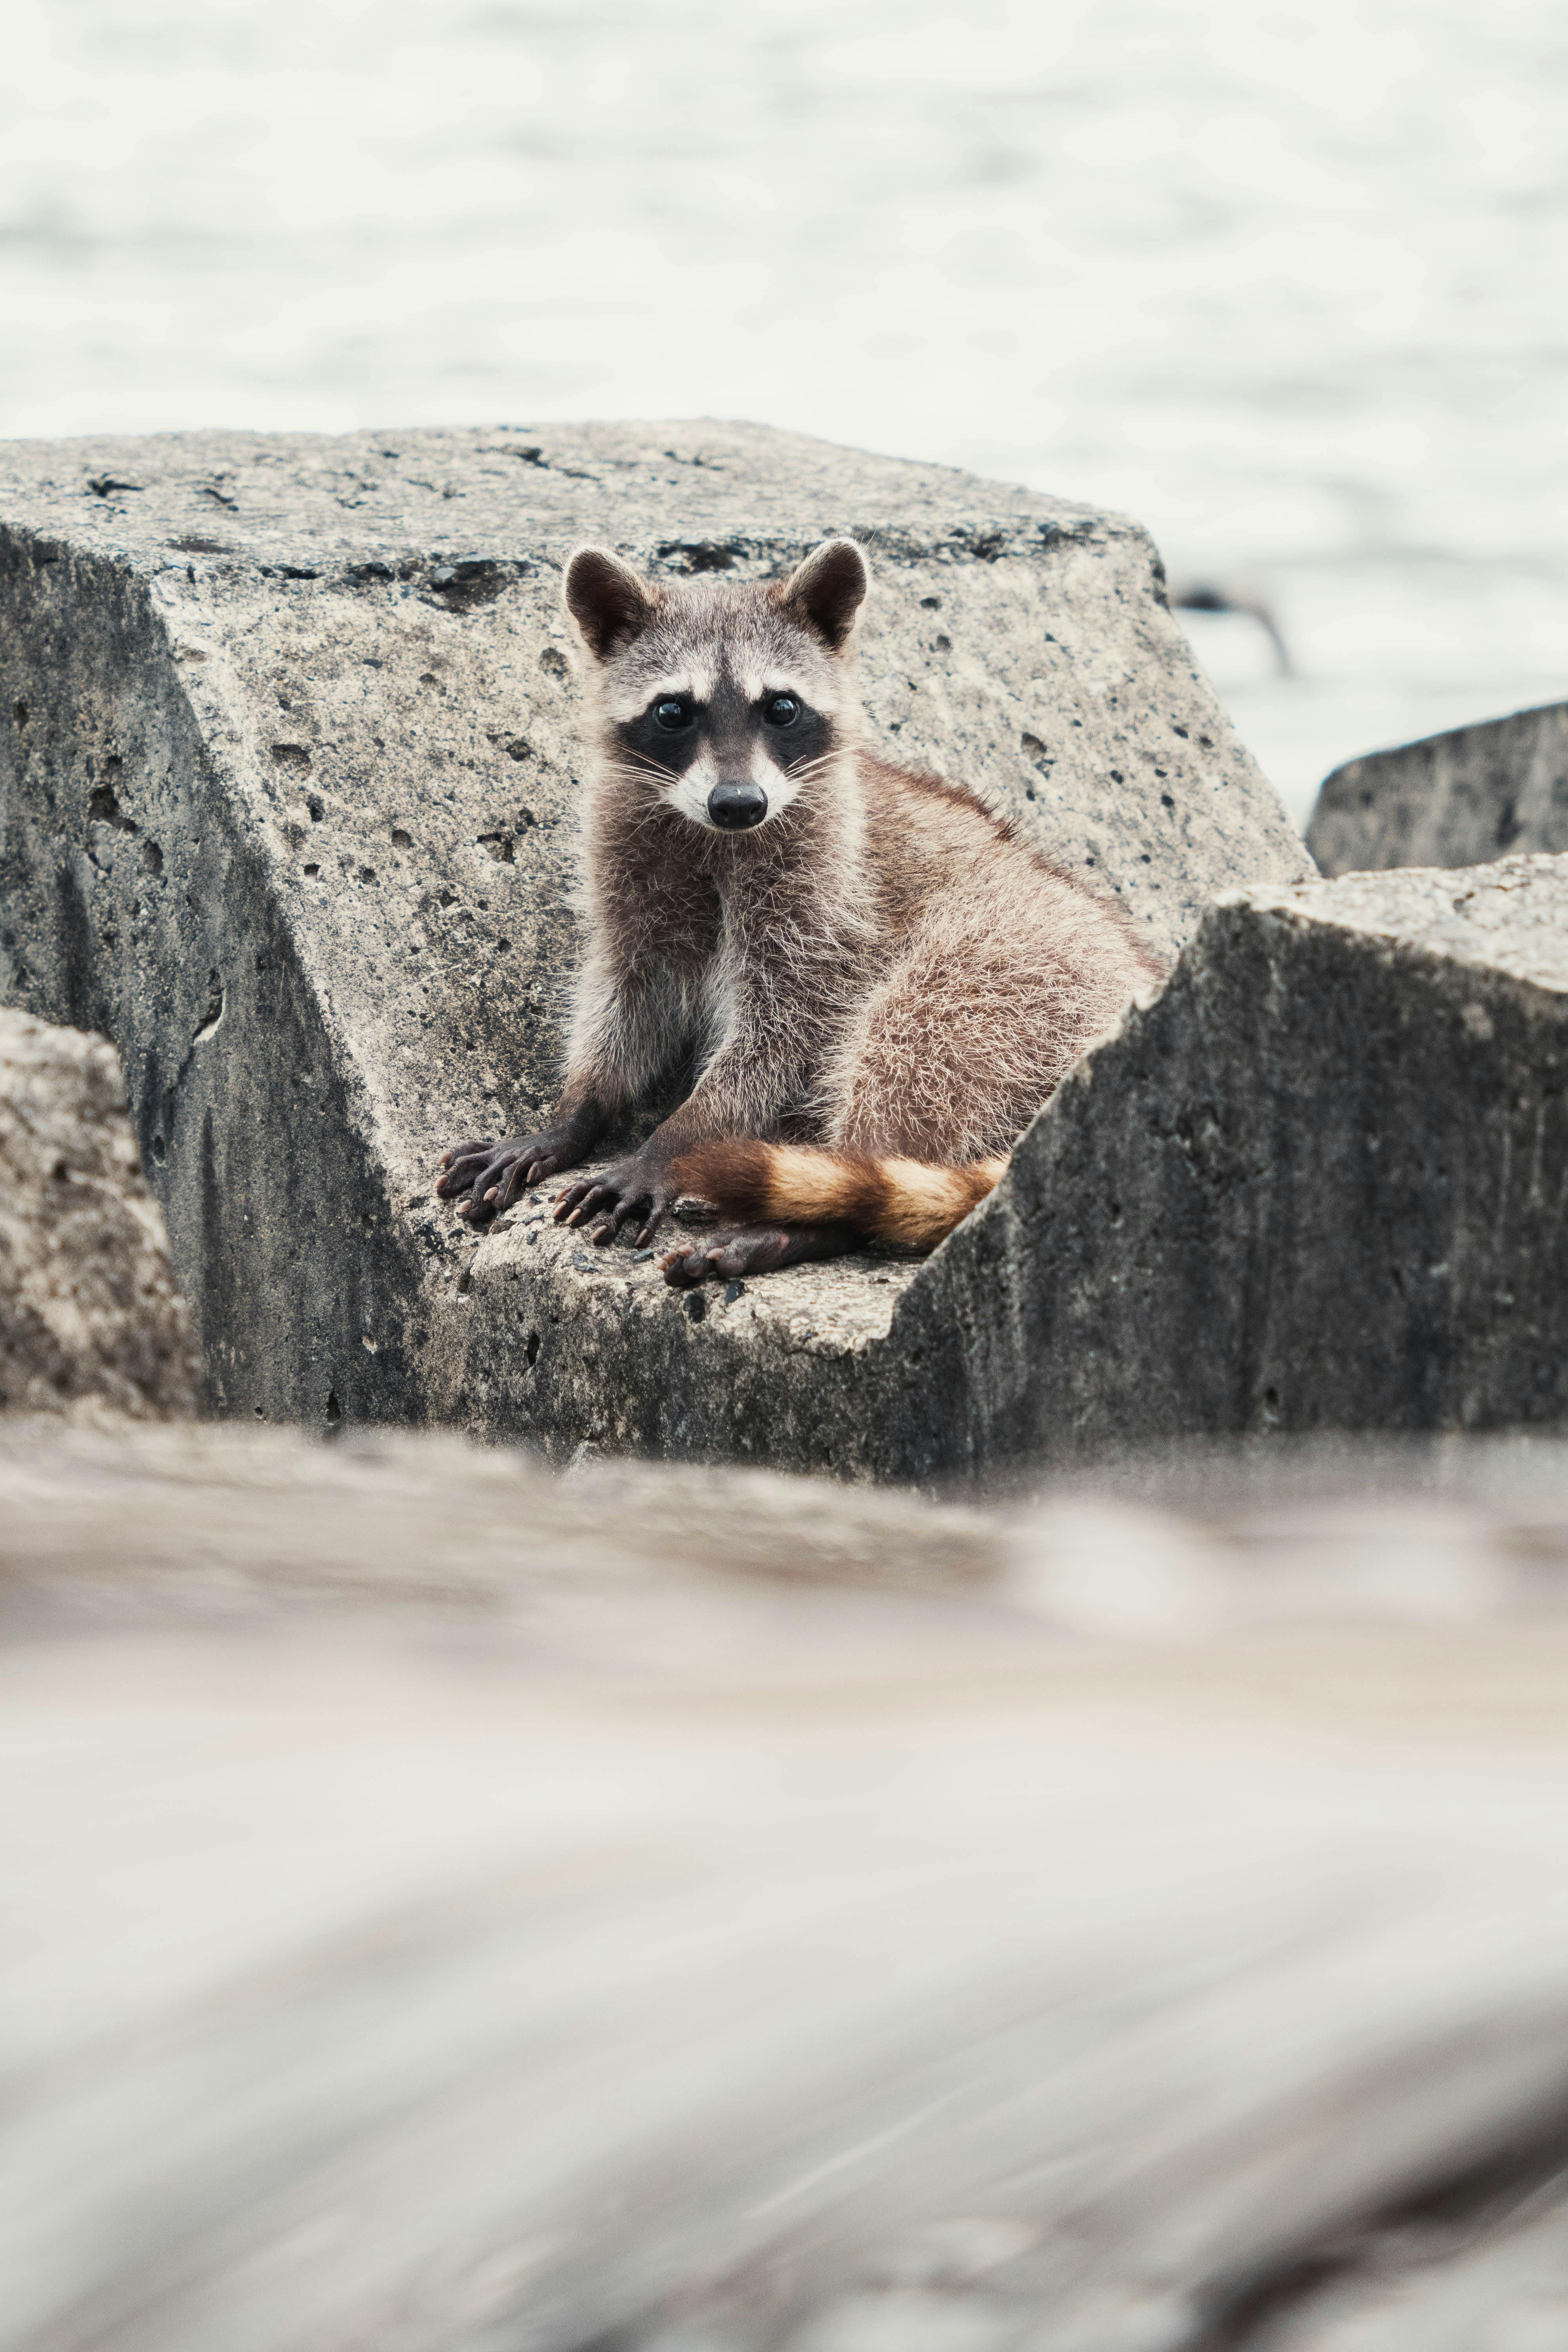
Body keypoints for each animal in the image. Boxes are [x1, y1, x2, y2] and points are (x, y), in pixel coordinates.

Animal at [436, 539, 1164, 1286]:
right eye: (674, 712)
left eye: (780, 708)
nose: (739, 804)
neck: (712, 835)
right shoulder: (628, 871)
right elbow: (628, 995)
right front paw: (578, 1110)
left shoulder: (827, 899)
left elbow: (784, 1031)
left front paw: (675, 1139)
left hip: (1021, 976)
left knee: (915, 1042)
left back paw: (820, 1212)